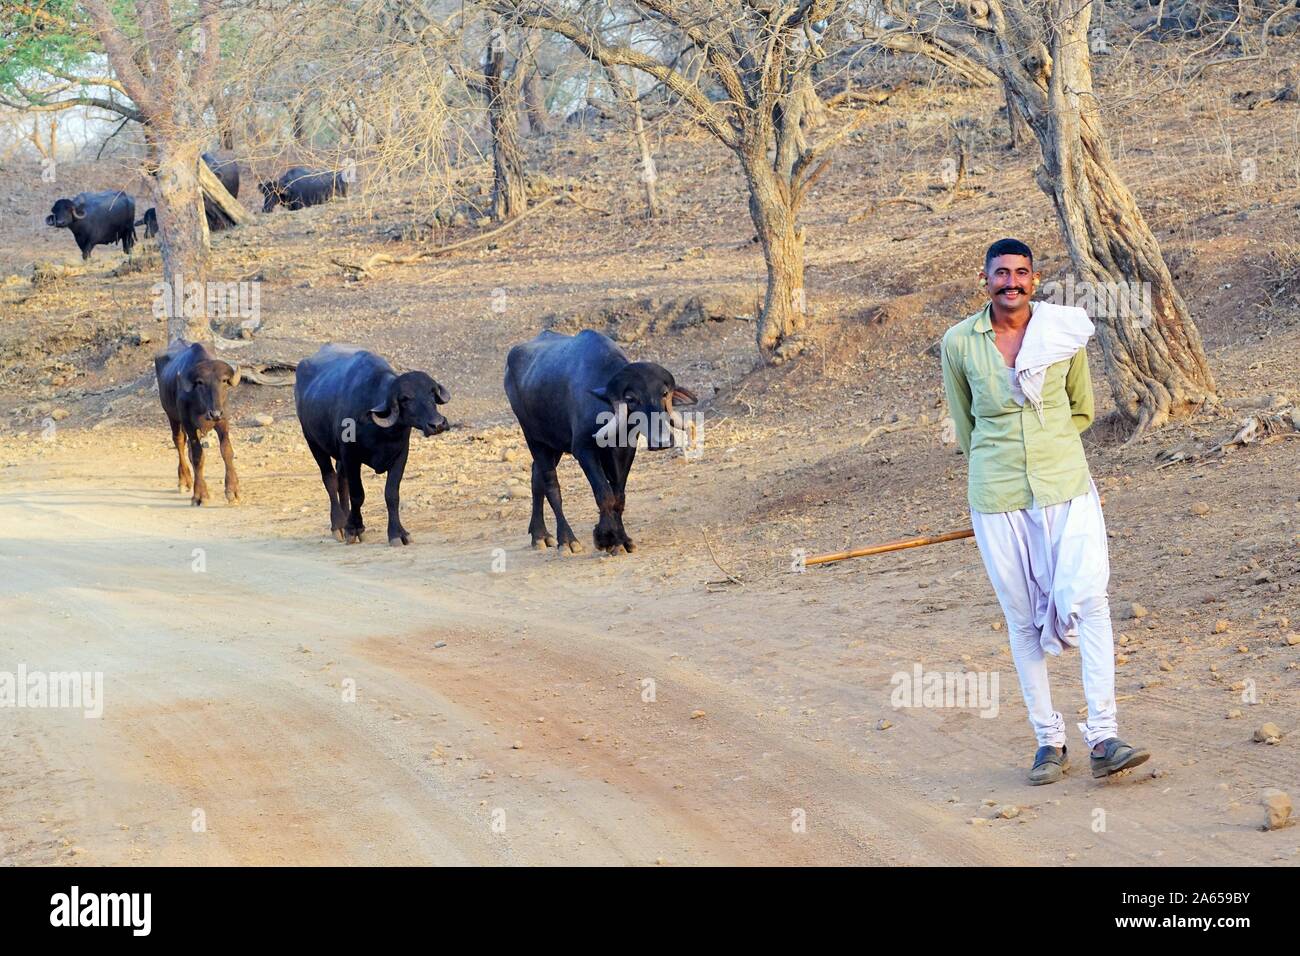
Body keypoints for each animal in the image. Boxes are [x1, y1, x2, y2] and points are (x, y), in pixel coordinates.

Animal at [154, 341, 242, 506]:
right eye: (200, 383)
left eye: (224, 380)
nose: (215, 414)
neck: (203, 406)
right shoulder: (189, 425)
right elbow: (197, 456)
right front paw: (200, 495)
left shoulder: (223, 421)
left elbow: (227, 451)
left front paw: (232, 491)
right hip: (172, 415)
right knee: (179, 442)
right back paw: (184, 481)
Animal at [295, 345, 450, 546]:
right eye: (405, 398)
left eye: (432, 392)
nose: (437, 424)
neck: (381, 432)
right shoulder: (351, 455)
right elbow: (357, 494)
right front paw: (354, 529)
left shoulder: (400, 454)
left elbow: (392, 494)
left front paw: (398, 533)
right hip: (313, 442)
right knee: (329, 479)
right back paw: (339, 525)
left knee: (341, 480)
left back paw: (346, 520)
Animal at [504, 329, 697, 555]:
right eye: (631, 398)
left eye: (664, 393)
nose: (662, 441)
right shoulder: (583, 449)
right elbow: (604, 493)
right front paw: (605, 537)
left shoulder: (624, 450)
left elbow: (618, 496)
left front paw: (621, 540)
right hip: (533, 437)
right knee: (551, 484)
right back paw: (566, 540)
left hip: (553, 444)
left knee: (536, 477)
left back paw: (540, 535)